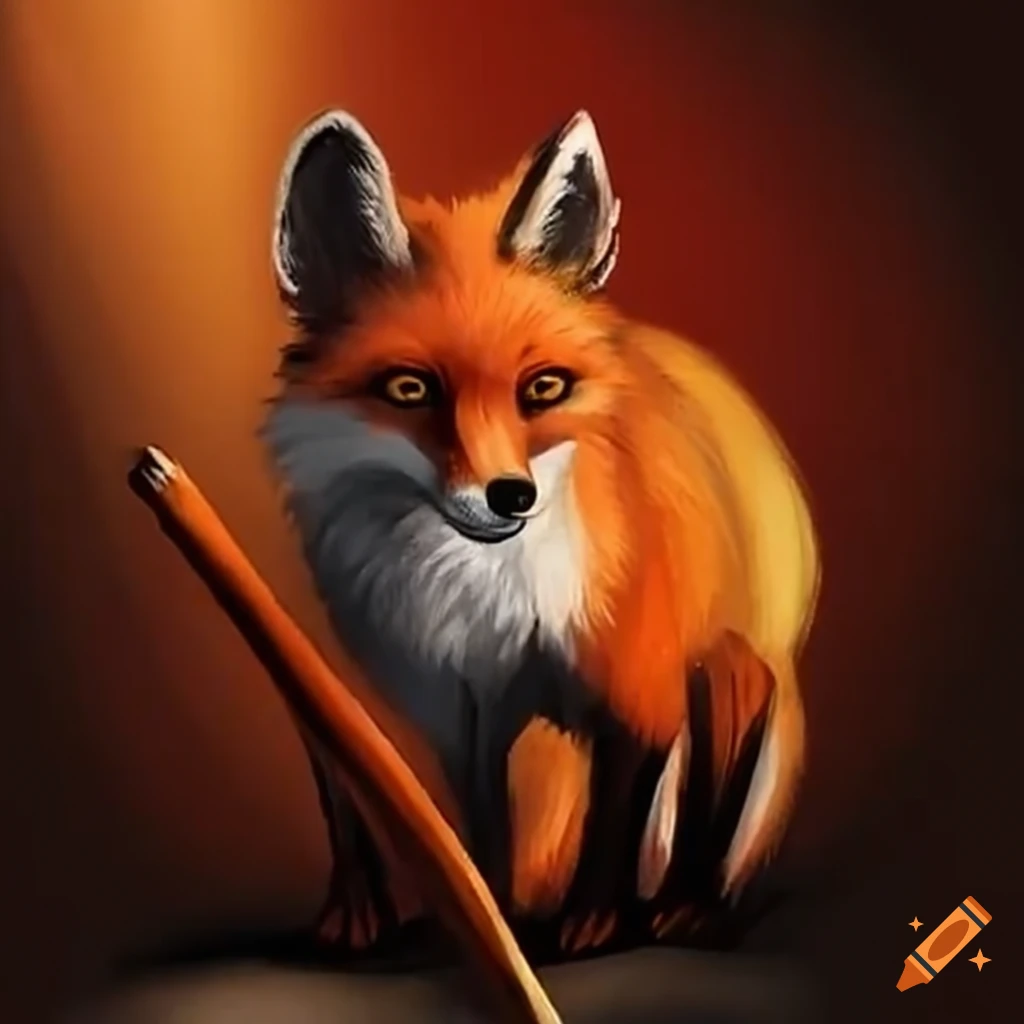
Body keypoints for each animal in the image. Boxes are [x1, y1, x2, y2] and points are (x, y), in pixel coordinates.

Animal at [260, 108, 821, 959]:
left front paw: (590, 925)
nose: (510, 496)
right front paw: (489, 912)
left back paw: (688, 905)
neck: (485, 605)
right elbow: (482, 825)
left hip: (727, 676)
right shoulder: (468, 713)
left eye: (543, 388)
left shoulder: (637, 686)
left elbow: (618, 815)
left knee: (711, 792)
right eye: (410, 389)